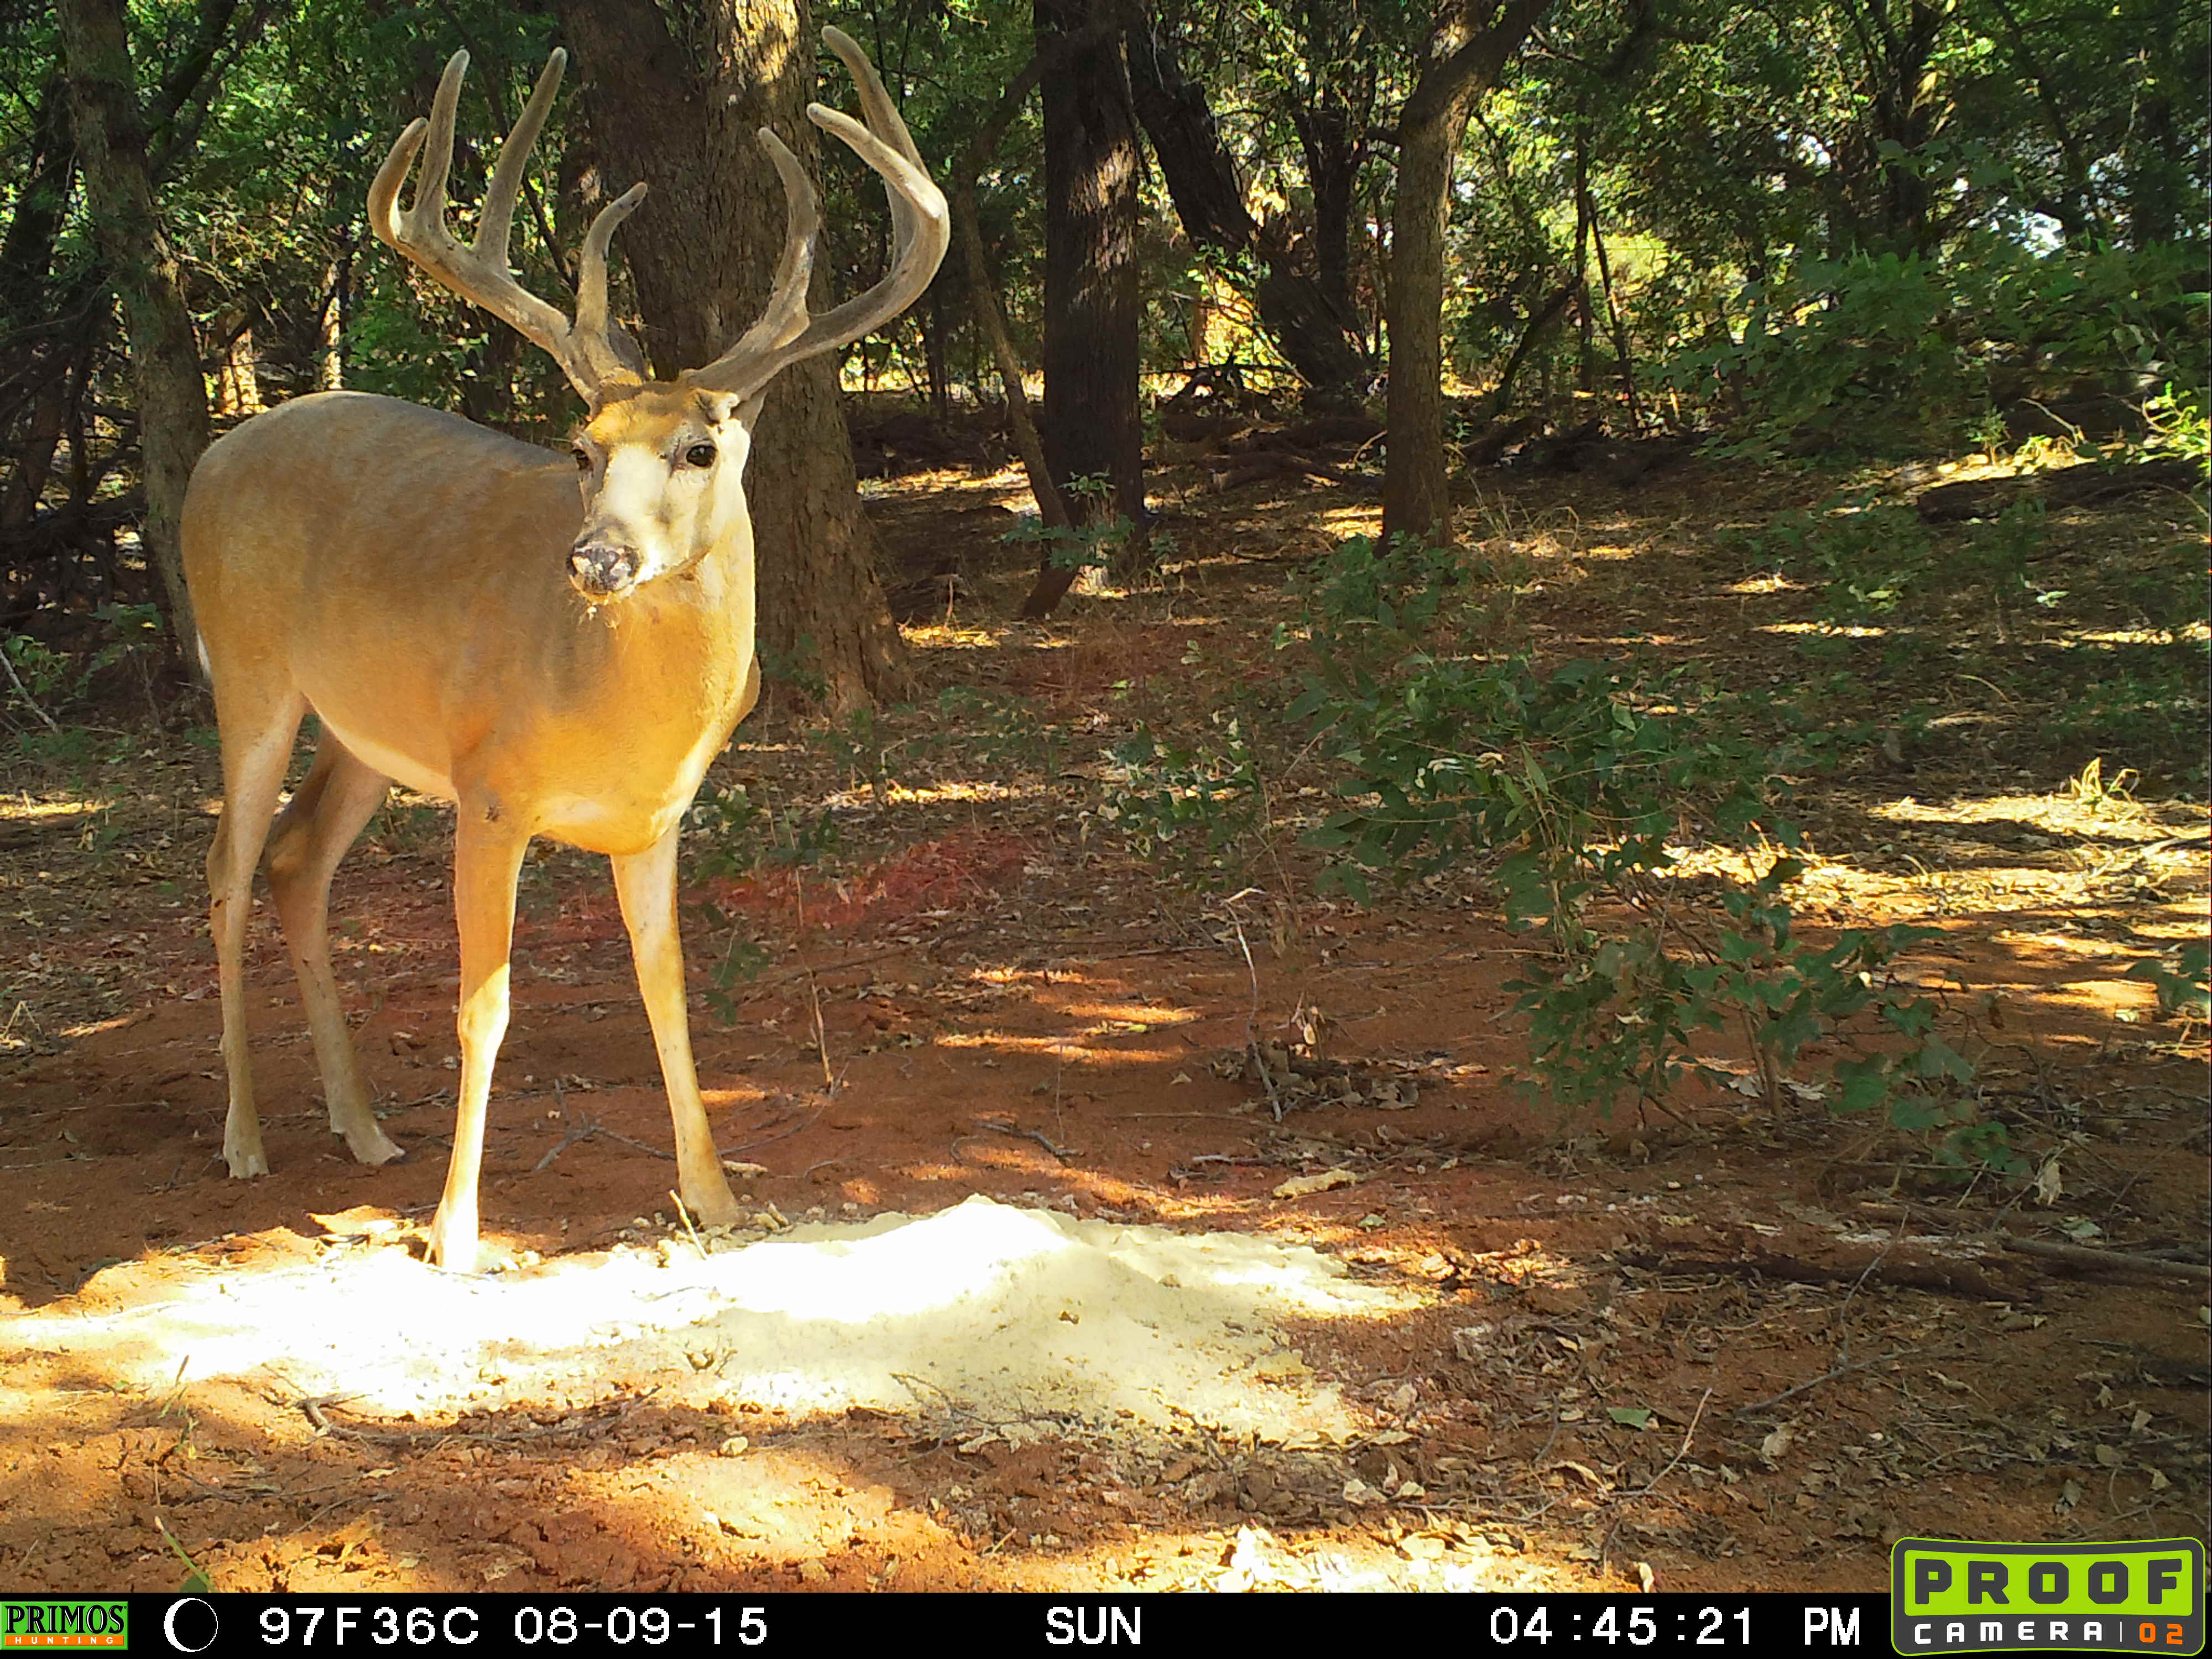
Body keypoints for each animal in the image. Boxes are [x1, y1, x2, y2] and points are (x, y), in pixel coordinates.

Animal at [179, 28, 947, 1273]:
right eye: (582, 447)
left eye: (698, 446)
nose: (596, 558)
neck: (612, 703)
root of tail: (212, 454)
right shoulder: (492, 793)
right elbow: (483, 1005)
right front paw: (455, 1232)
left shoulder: (655, 819)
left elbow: (667, 989)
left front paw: (714, 1197)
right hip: (247, 675)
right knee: (225, 867)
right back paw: (246, 1138)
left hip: (368, 739)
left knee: (297, 864)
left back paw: (361, 1130)